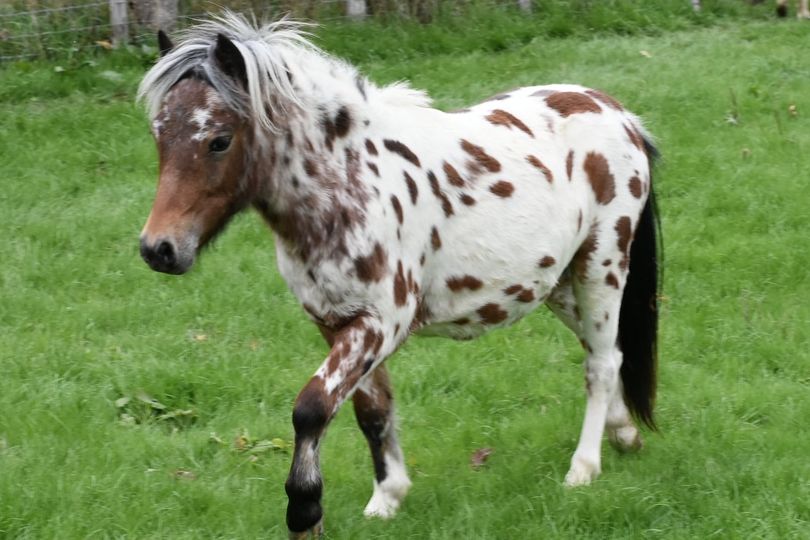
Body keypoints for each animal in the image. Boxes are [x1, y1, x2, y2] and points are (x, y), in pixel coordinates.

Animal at [137, 12, 661, 537]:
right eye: (158, 137)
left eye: (219, 140)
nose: (158, 249)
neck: (348, 185)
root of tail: (619, 114)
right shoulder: (335, 322)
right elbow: (371, 411)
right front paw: (387, 497)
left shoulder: (381, 322)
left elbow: (311, 408)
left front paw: (305, 511)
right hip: (553, 284)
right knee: (609, 349)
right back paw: (625, 434)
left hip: (602, 265)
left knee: (600, 364)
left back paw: (583, 468)